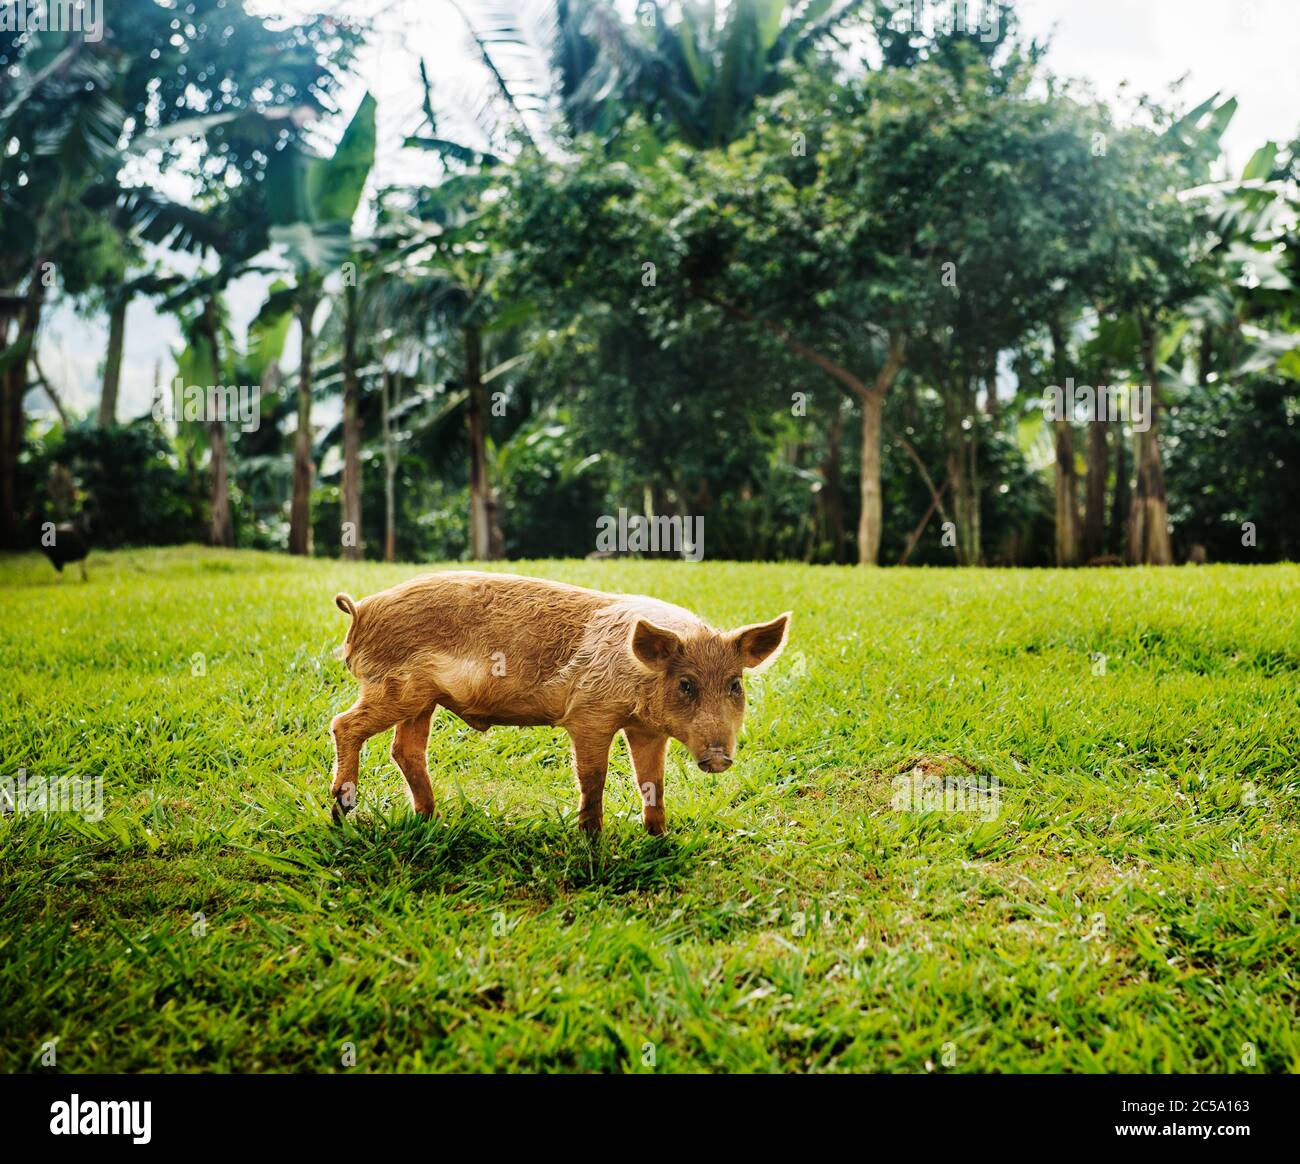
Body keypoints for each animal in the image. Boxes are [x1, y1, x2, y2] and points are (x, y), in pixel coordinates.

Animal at [329, 571, 791, 834]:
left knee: (405, 750)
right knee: (343, 724)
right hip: (396, 689)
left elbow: (653, 781)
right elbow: (593, 776)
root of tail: (362, 610)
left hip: (423, 700)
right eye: (686, 684)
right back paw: (341, 810)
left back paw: (430, 819)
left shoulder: (646, 730)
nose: (719, 758)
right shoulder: (589, 714)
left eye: (735, 684)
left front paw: (659, 837)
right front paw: (592, 837)